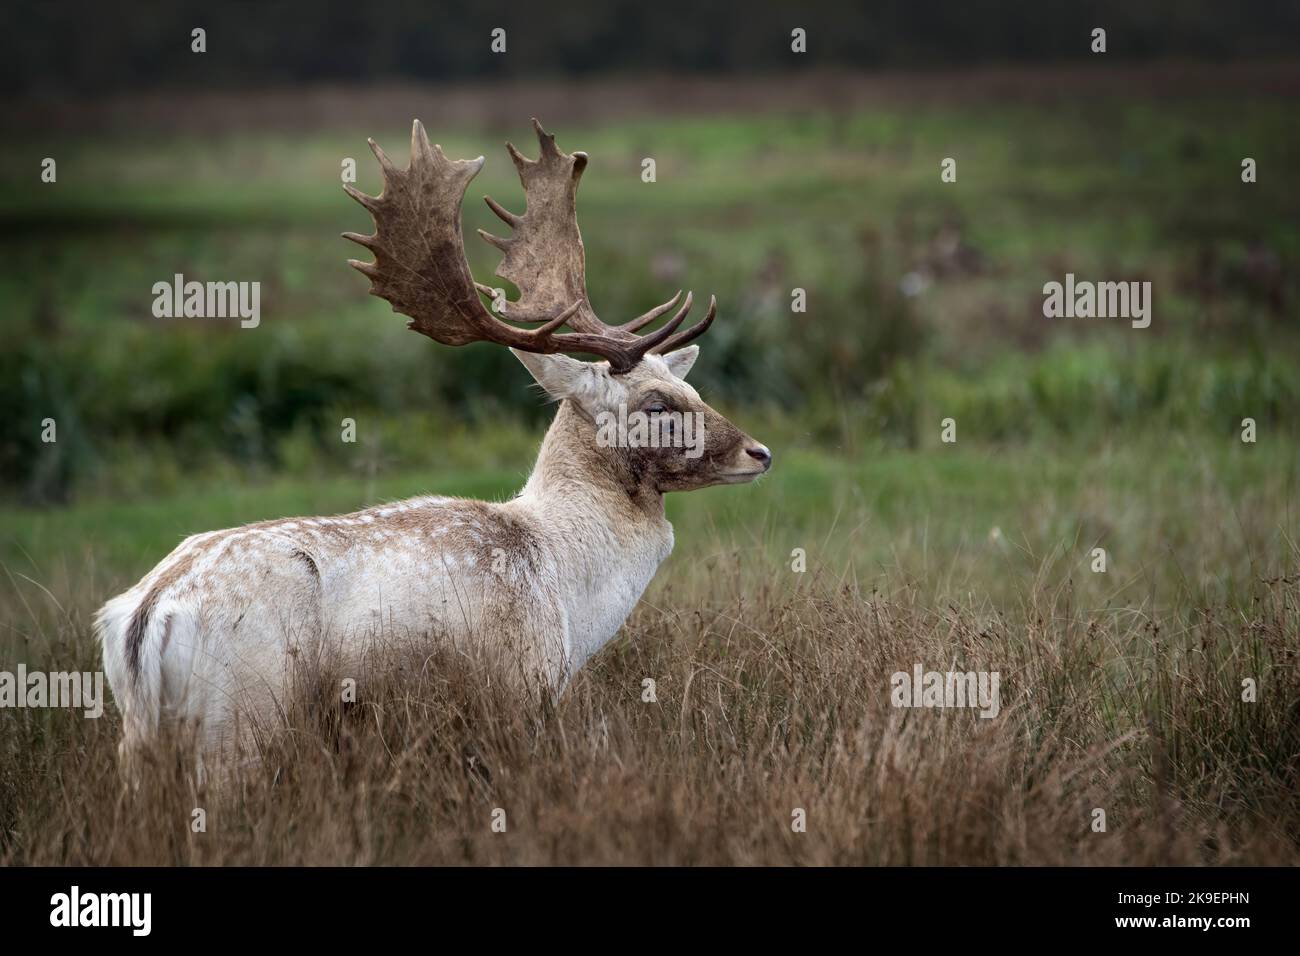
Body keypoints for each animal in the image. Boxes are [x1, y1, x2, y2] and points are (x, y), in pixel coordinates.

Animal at [96, 119, 771, 773]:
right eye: (656, 405)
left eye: (691, 385)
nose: (759, 453)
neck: (567, 583)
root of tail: (144, 617)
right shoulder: (514, 692)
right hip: (241, 719)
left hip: (143, 744)